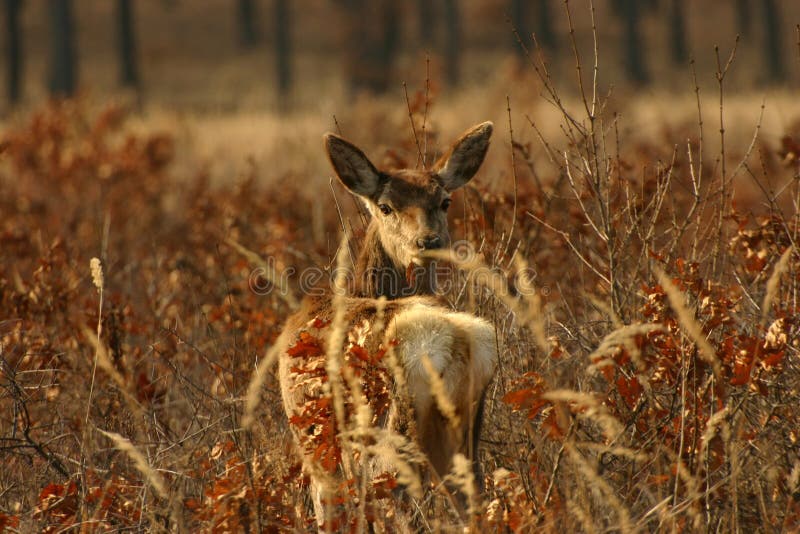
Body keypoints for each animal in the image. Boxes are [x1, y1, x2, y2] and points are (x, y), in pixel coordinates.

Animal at [274, 122, 498, 530]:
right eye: (385, 206)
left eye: (445, 201)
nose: (429, 240)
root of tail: (455, 342)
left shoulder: (314, 444)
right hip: (465, 428)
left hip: (390, 429)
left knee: (393, 506)